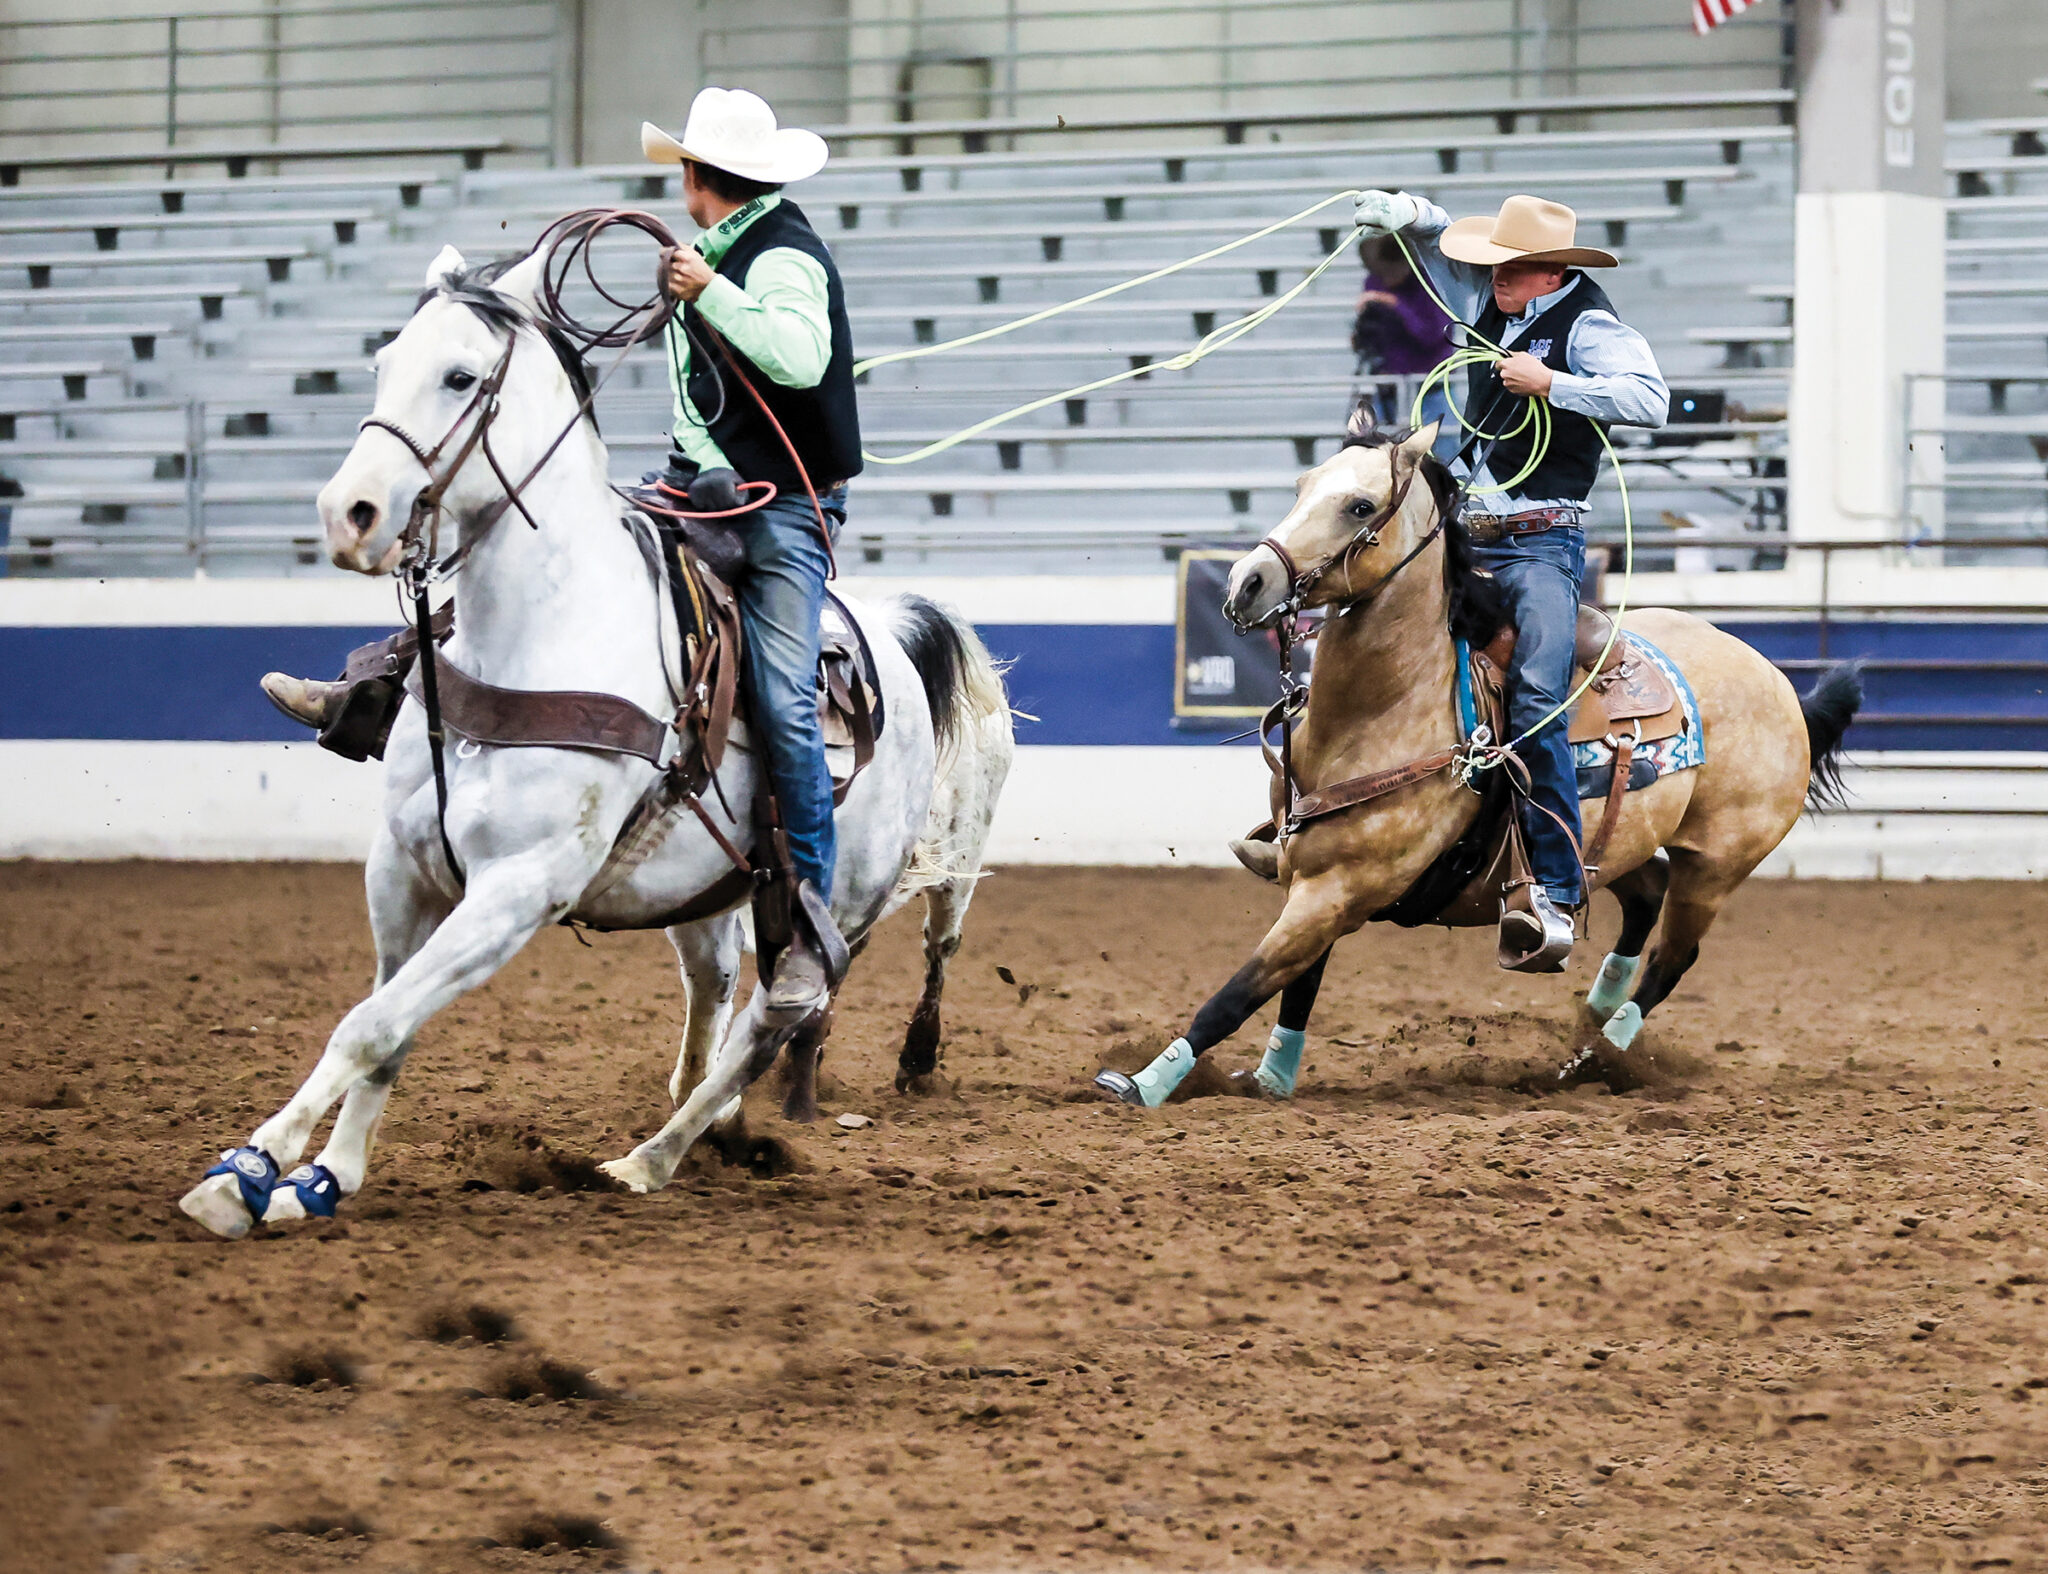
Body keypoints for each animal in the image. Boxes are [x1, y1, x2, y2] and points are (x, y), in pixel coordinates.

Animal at [180, 243, 1012, 1239]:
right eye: (384, 363)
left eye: (461, 376)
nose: (351, 514)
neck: (539, 632)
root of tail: (889, 630)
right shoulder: (404, 868)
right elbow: (388, 1022)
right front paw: (326, 1177)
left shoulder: (520, 887)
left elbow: (370, 1023)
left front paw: (245, 1173)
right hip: (709, 892)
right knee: (716, 986)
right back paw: (696, 1117)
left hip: (838, 904)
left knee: (770, 1020)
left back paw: (653, 1158)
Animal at [1098, 420, 1859, 1103]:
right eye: (1303, 486)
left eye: (1360, 506)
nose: (1246, 582)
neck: (1387, 710)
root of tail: (1781, 684)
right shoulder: (1313, 875)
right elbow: (1295, 985)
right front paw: (1271, 1079)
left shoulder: (1342, 886)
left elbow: (1241, 989)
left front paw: (1145, 1082)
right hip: (1618, 844)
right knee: (1642, 898)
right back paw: (1592, 1013)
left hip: (1718, 865)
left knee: (1674, 956)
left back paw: (1596, 1056)